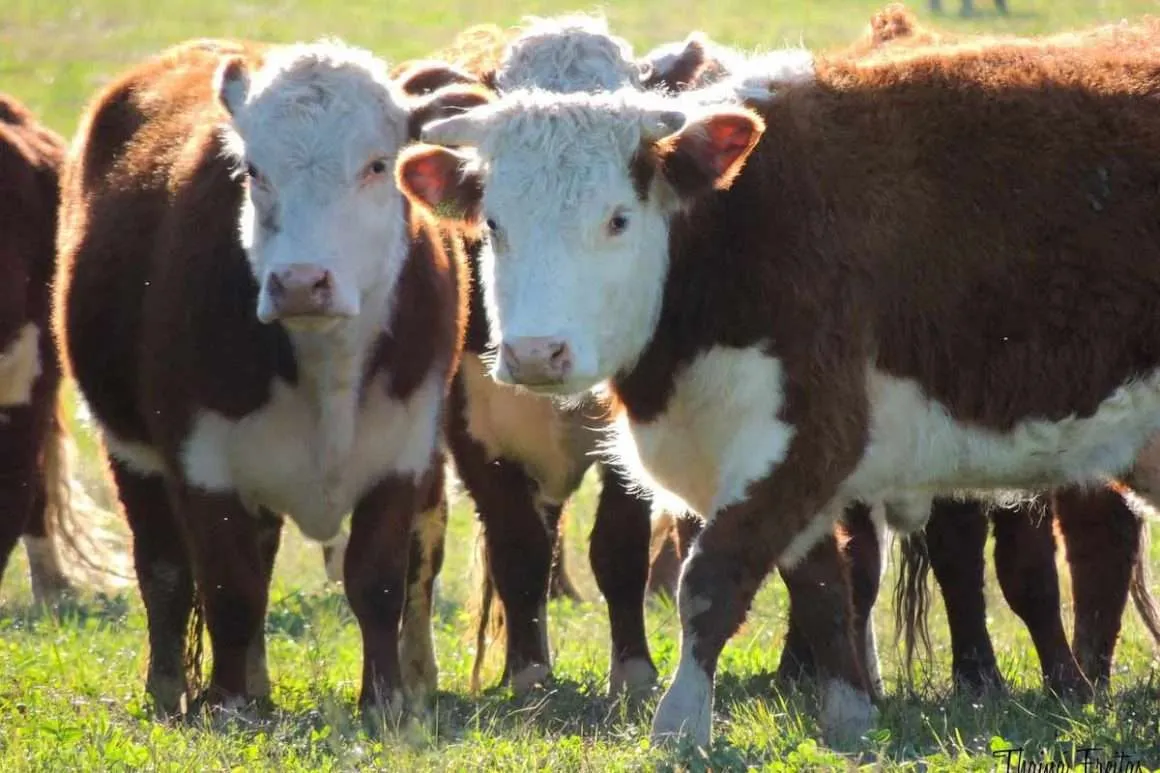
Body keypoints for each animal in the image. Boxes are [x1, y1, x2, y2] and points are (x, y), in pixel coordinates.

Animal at [53, 38, 488, 716]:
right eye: (254, 171)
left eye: (376, 165)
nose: (300, 282)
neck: (325, 363)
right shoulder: (201, 462)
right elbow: (230, 588)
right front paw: (229, 703)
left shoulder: (404, 451)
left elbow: (378, 582)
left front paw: (384, 700)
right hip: (130, 455)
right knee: (165, 571)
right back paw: (172, 691)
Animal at [397, 21, 1160, 748]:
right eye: (494, 223)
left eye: (617, 218)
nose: (535, 354)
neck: (737, 229)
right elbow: (823, 584)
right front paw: (851, 713)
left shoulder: (807, 434)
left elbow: (711, 579)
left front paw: (679, 723)